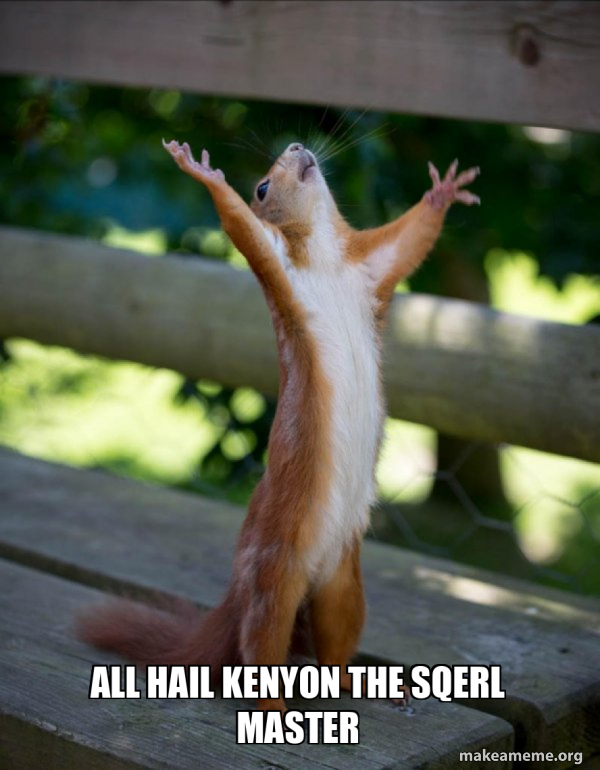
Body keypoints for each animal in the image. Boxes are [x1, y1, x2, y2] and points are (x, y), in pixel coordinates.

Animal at [77, 138, 479, 713]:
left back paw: (361, 682)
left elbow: (410, 240)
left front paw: (443, 192)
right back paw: (275, 710)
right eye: (262, 187)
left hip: (343, 585)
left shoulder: (372, 267)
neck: (327, 259)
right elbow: (240, 226)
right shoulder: (277, 264)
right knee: (261, 648)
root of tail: (240, 590)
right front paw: (204, 174)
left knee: (333, 652)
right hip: (274, 577)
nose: (296, 146)